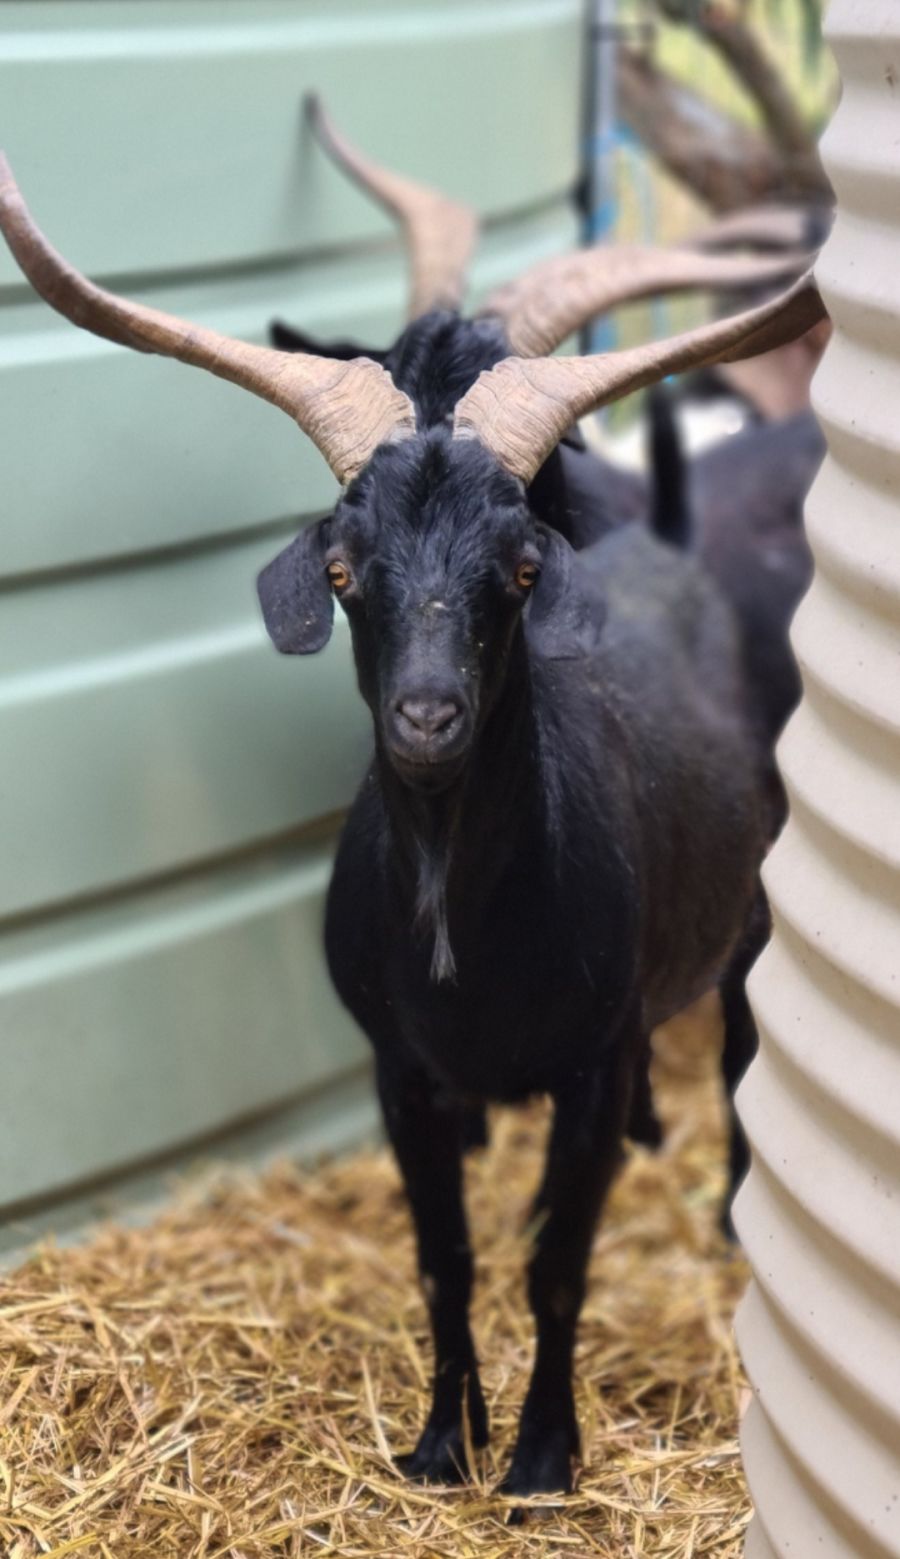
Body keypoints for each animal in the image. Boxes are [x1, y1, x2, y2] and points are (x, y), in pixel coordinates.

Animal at [0, 141, 825, 1501]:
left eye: (522, 567)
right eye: (344, 568)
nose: (428, 716)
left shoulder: (592, 1064)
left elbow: (557, 1262)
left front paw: (539, 1458)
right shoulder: (403, 1069)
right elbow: (448, 1259)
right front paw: (445, 1444)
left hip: (758, 914)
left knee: (750, 1052)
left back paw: (726, 1227)